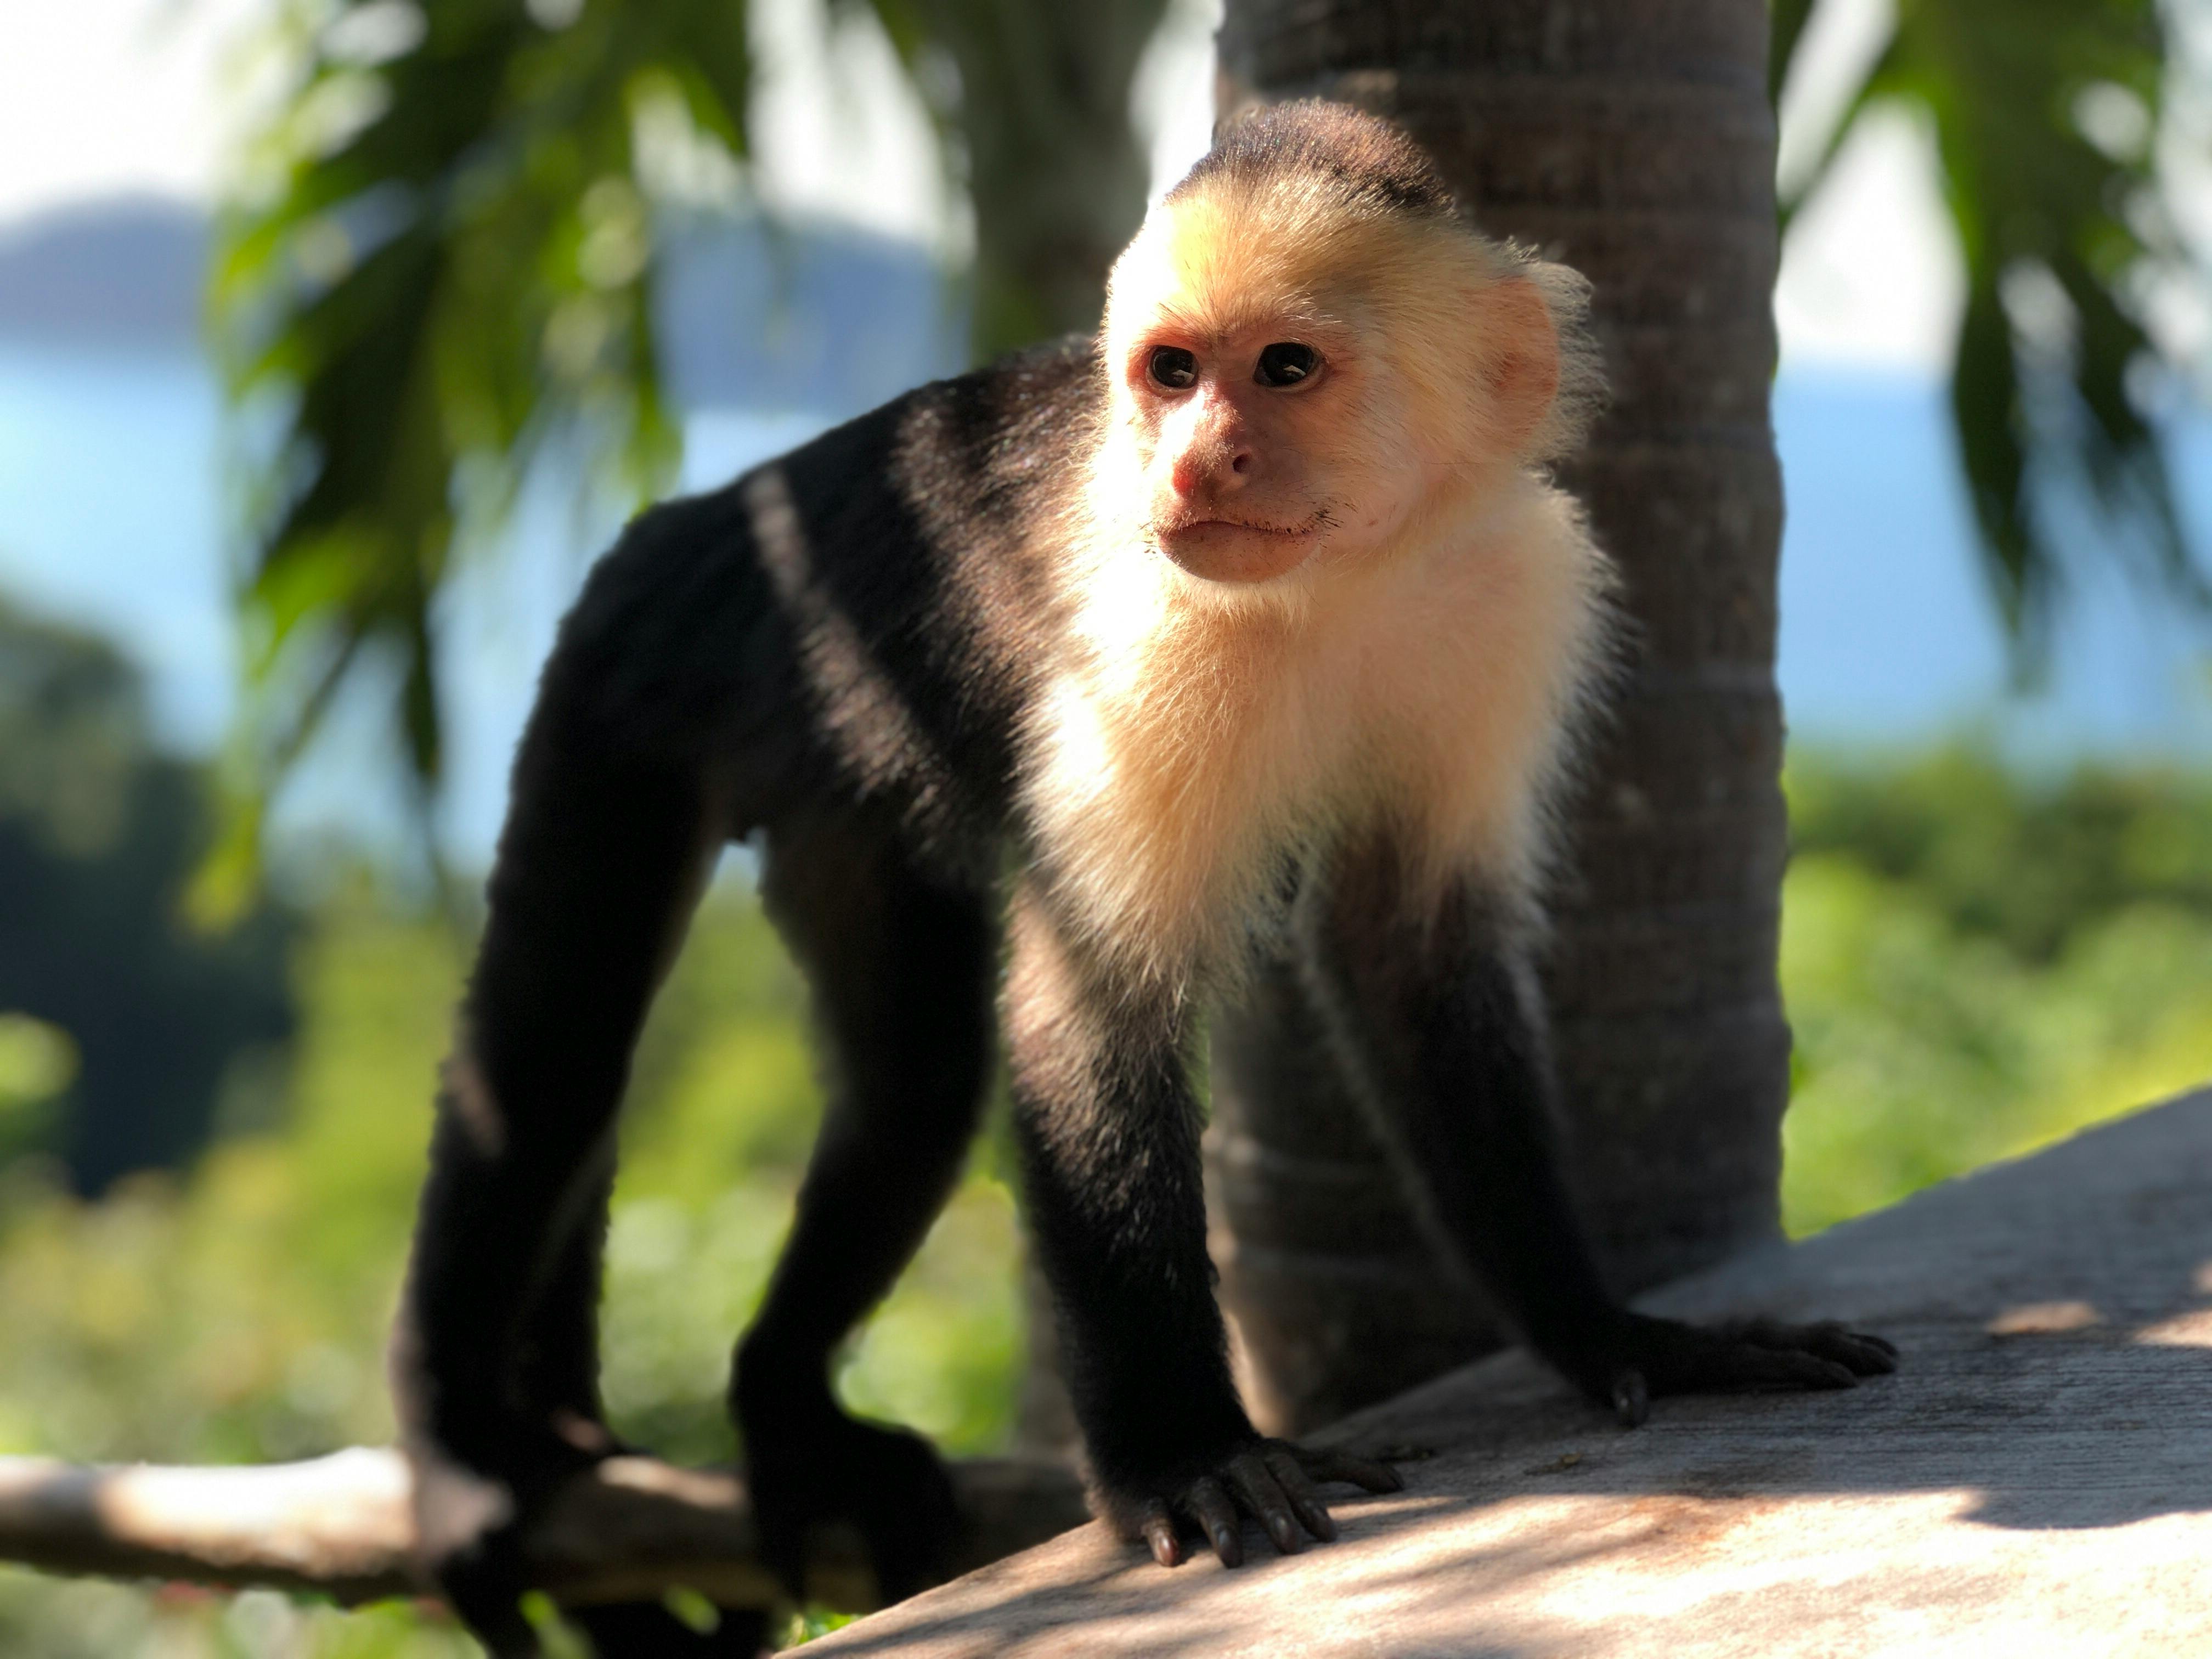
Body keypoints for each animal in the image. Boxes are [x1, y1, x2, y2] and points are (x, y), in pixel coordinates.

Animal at [390, 101, 1896, 1654]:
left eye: (1284, 369)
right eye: (1172, 373)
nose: (1193, 465)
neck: (1339, 579)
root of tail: (707, 513)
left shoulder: (1507, 589)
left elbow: (1414, 959)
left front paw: (1608, 1329)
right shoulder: (1151, 633)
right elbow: (1092, 1008)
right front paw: (1186, 1457)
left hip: (828, 797)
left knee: (912, 1089)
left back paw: (781, 1400)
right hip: (630, 681)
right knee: (551, 1078)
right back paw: (458, 1458)